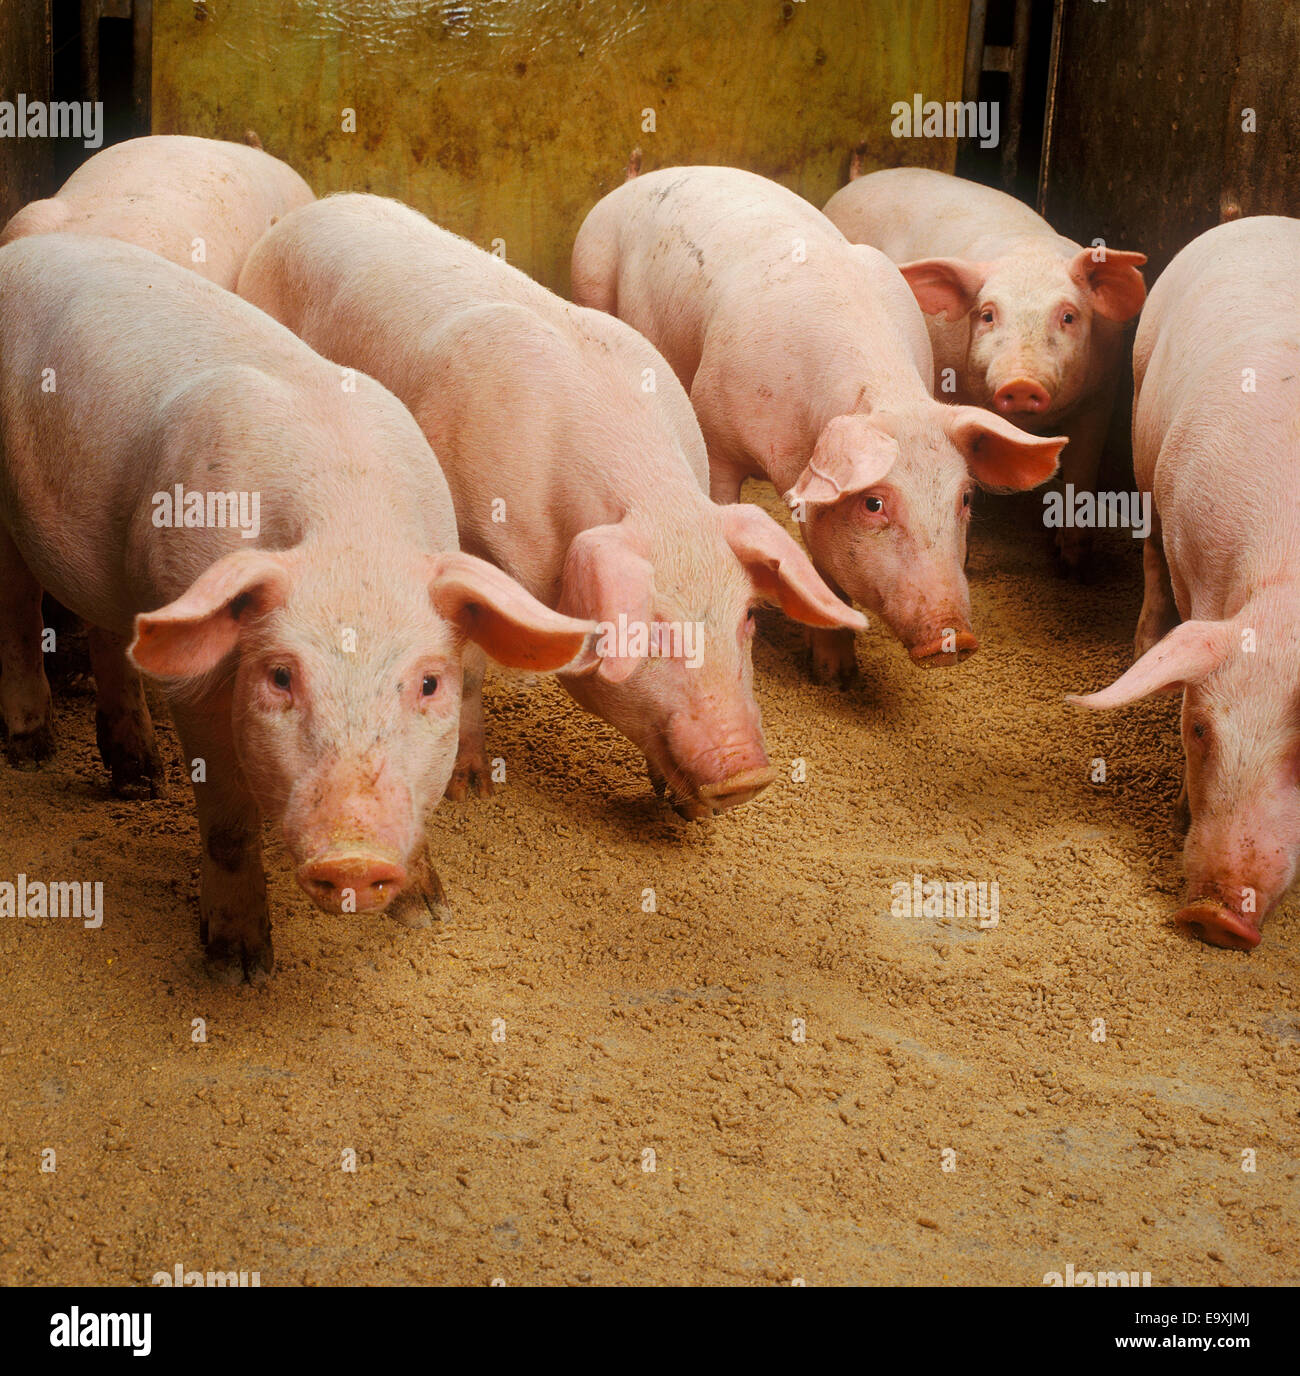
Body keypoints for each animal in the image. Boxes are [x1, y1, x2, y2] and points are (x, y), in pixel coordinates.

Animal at [0, 234, 591, 980]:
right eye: (280, 677)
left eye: (430, 684)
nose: (355, 858)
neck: (349, 531)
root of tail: (18, 249)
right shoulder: (196, 678)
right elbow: (226, 818)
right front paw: (239, 967)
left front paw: (428, 912)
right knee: (17, 606)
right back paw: (31, 753)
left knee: (113, 634)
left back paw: (138, 780)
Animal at [238, 193, 864, 818]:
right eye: (647, 630)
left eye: (749, 616)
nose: (745, 776)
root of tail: (309, 209)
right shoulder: (468, 547)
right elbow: (468, 668)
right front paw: (471, 788)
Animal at [570, 164, 1066, 686]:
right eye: (874, 503)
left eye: (966, 497)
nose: (954, 639)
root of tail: (639, 178)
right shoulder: (717, 435)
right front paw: (829, 674)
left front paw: (836, 675)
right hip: (590, 274)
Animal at [823, 165, 1147, 577]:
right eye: (989, 314)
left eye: (1069, 316)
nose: (1021, 382)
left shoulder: (1102, 394)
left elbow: (1083, 470)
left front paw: (1073, 564)